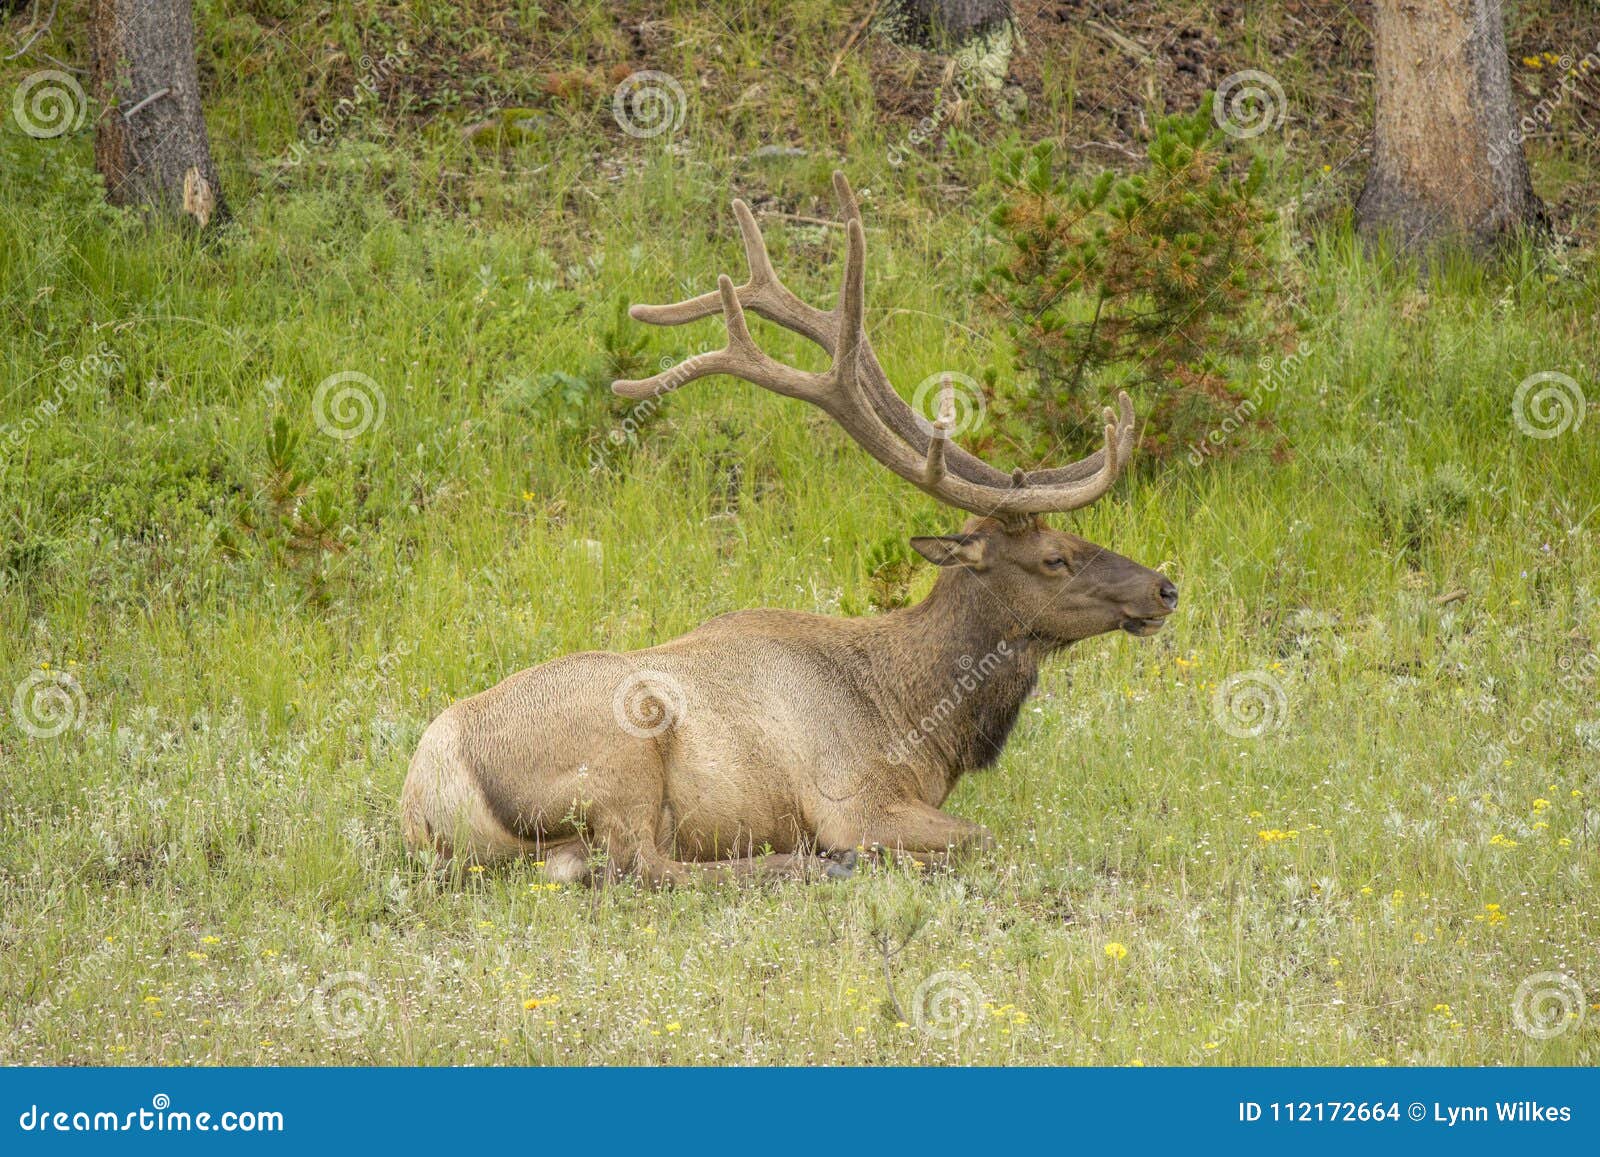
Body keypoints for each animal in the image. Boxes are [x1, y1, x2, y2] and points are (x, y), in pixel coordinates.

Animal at [400, 173, 1178, 885]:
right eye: (1054, 558)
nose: (1165, 588)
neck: (918, 723)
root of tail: (428, 793)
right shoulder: (853, 797)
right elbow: (984, 836)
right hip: (624, 749)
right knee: (645, 865)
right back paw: (805, 864)